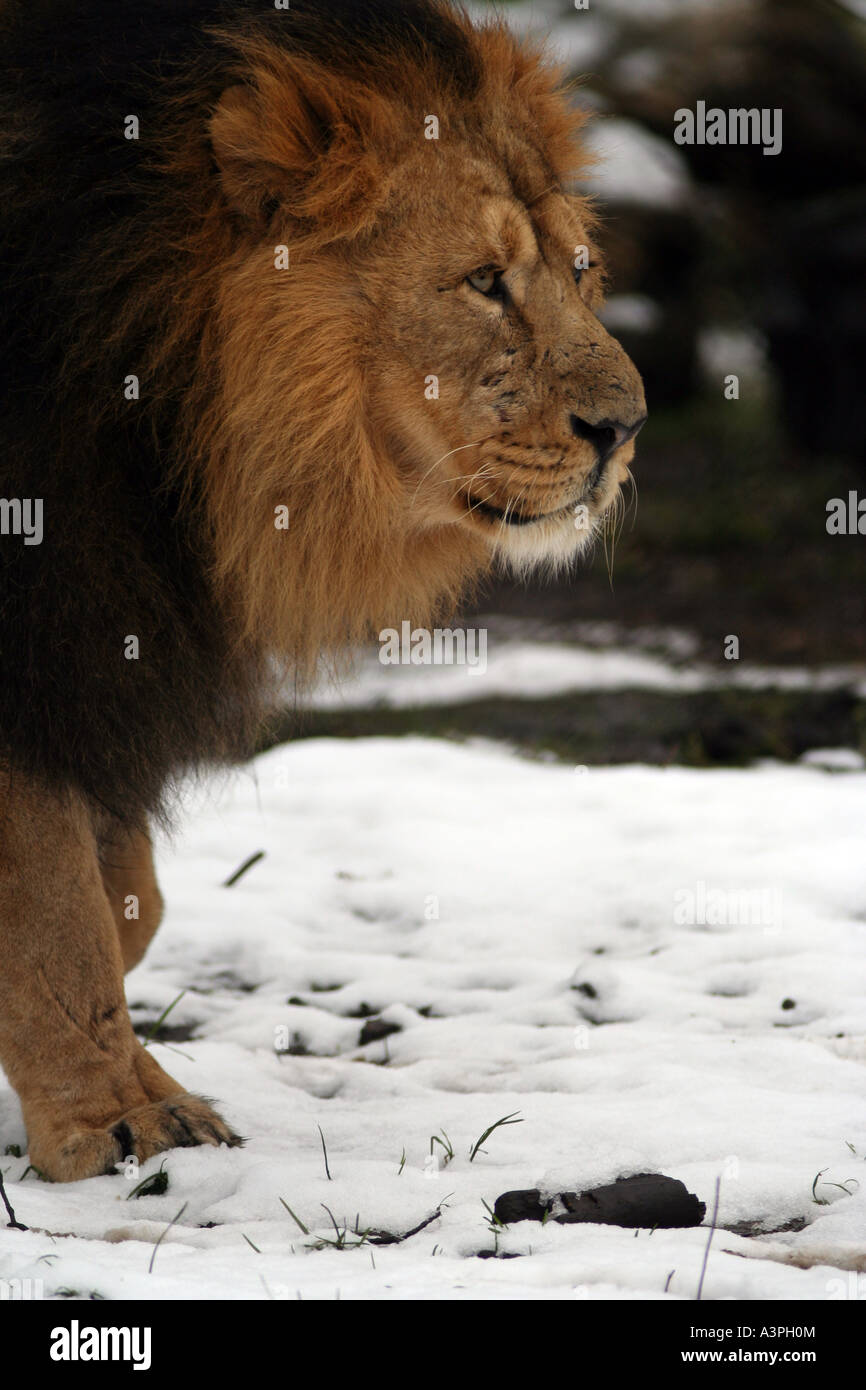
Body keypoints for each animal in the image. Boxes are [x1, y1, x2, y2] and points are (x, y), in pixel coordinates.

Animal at [0, 0, 645, 1180]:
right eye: (484, 280)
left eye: (579, 270)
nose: (623, 429)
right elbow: (55, 898)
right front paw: (118, 1119)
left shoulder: (92, 624)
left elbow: (122, 897)